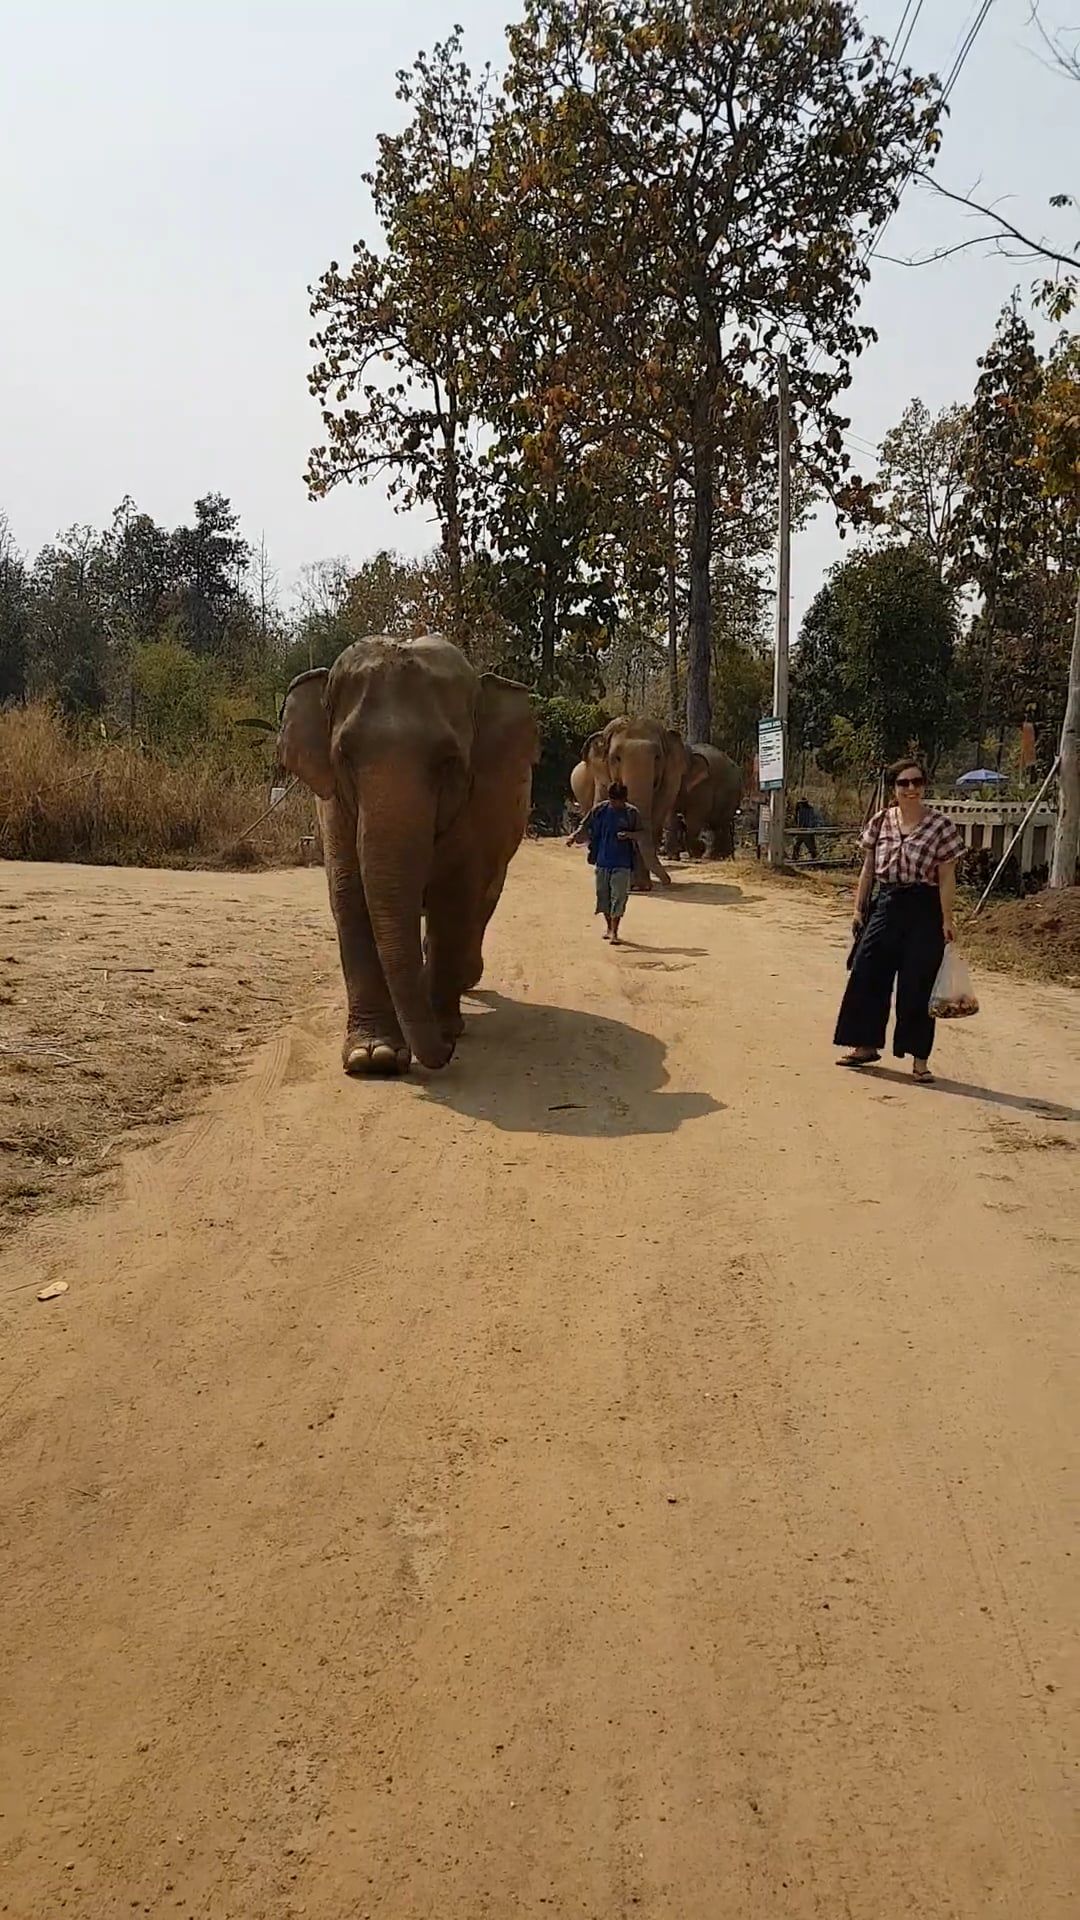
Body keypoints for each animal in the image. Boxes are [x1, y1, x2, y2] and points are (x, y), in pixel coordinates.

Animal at [277, 634, 538, 1076]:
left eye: (449, 761)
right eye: (344, 755)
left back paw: (463, 986)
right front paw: (374, 1058)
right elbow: (349, 893)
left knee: (481, 903)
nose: (448, 1053)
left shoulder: (478, 805)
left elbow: (454, 898)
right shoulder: (332, 804)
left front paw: (444, 1031)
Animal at [574, 716, 694, 888]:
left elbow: (654, 822)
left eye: (657, 758)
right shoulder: (602, 779)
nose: (668, 881)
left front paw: (641, 887)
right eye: (616, 758)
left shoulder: (669, 782)